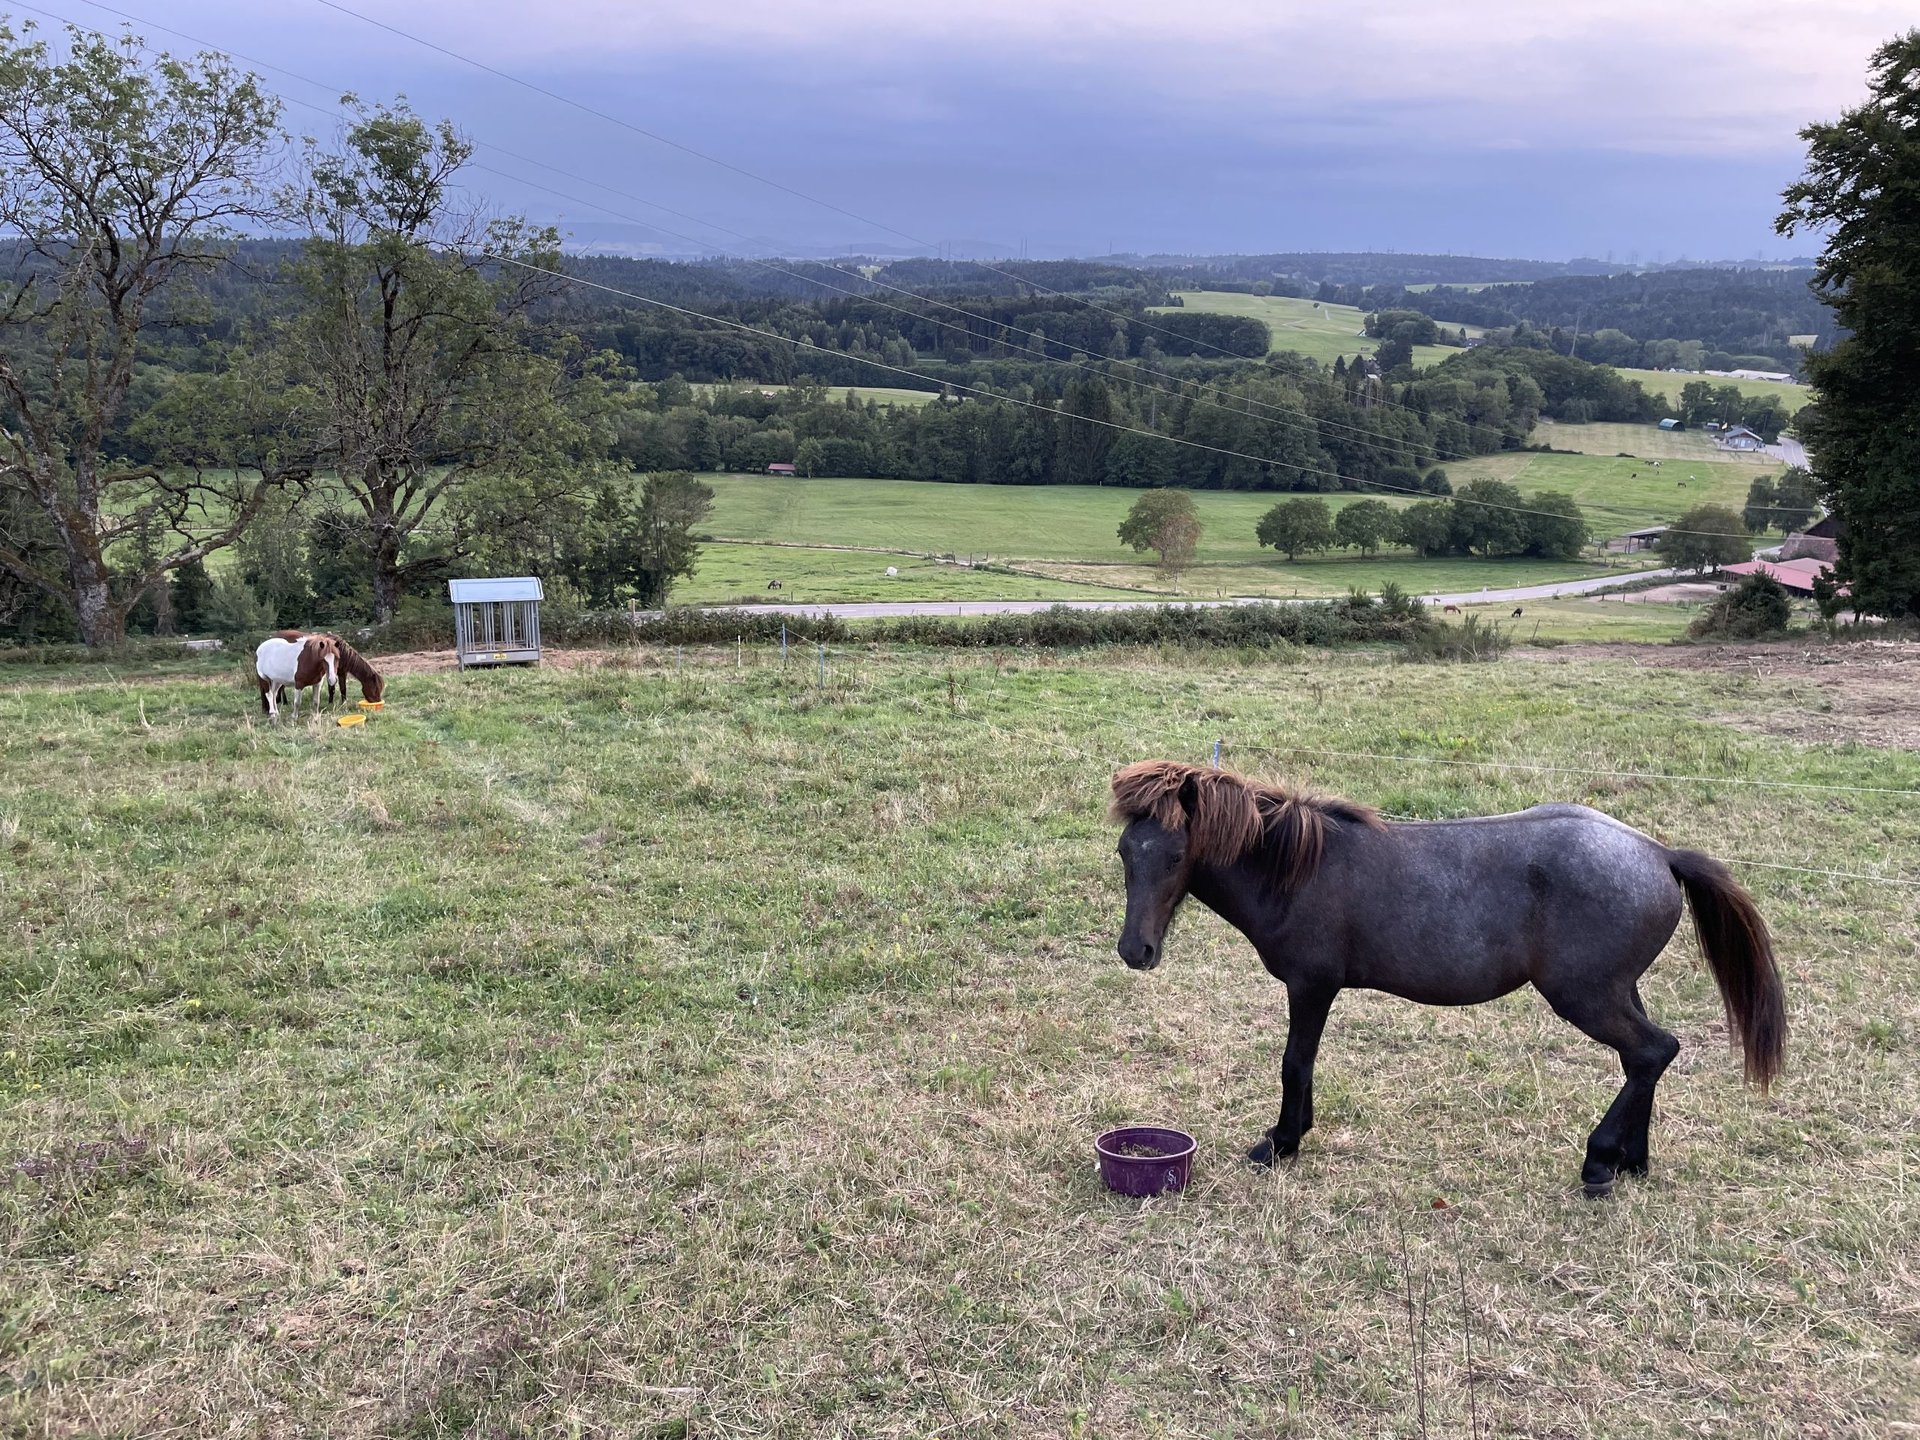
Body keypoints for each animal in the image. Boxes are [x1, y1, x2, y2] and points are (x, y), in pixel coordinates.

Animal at [1109, 760, 1786, 1198]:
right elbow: (1304, 1064)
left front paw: (1280, 1143)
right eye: (1123, 851)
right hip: (1618, 991)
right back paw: (1632, 1160)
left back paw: (1599, 1164)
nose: (1135, 951)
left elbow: (1294, 1063)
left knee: (1652, 1051)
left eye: (1175, 855)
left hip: (1586, 996)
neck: (1298, 868)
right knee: (1644, 1058)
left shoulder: (1310, 987)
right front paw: (1294, 1133)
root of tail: (1659, 854)